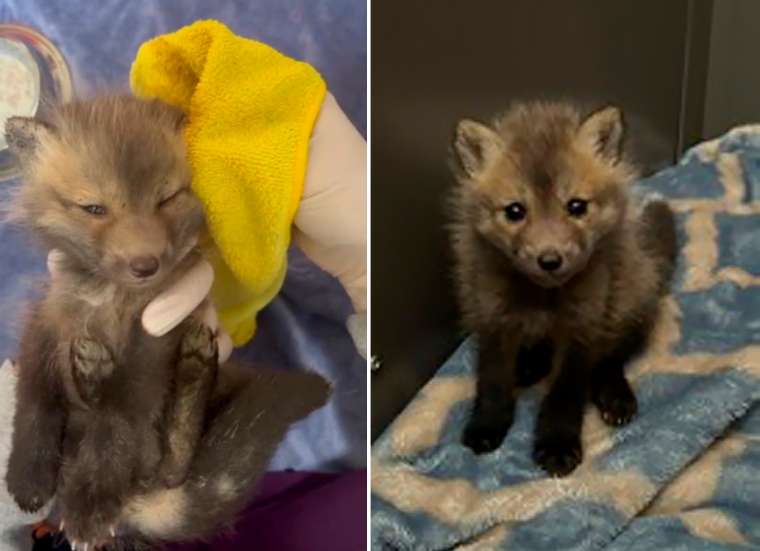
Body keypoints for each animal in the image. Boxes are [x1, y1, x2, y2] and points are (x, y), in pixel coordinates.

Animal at [3, 95, 330, 549]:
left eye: (168, 198)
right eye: (94, 208)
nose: (146, 265)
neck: (112, 301)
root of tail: (141, 506)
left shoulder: (154, 341)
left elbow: (116, 423)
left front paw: (90, 503)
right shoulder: (48, 319)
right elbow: (35, 403)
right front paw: (28, 476)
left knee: (171, 463)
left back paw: (187, 367)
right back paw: (92, 371)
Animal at [449, 101, 677, 476]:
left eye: (576, 206)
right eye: (515, 211)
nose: (550, 260)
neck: (544, 301)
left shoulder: (584, 328)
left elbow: (565, 393)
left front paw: (557, 444)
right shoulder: (493, 318)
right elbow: (493, 382)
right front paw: (487, 425)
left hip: (631, 297)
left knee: (613, 355)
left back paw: (614, 395)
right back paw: (529, 366)